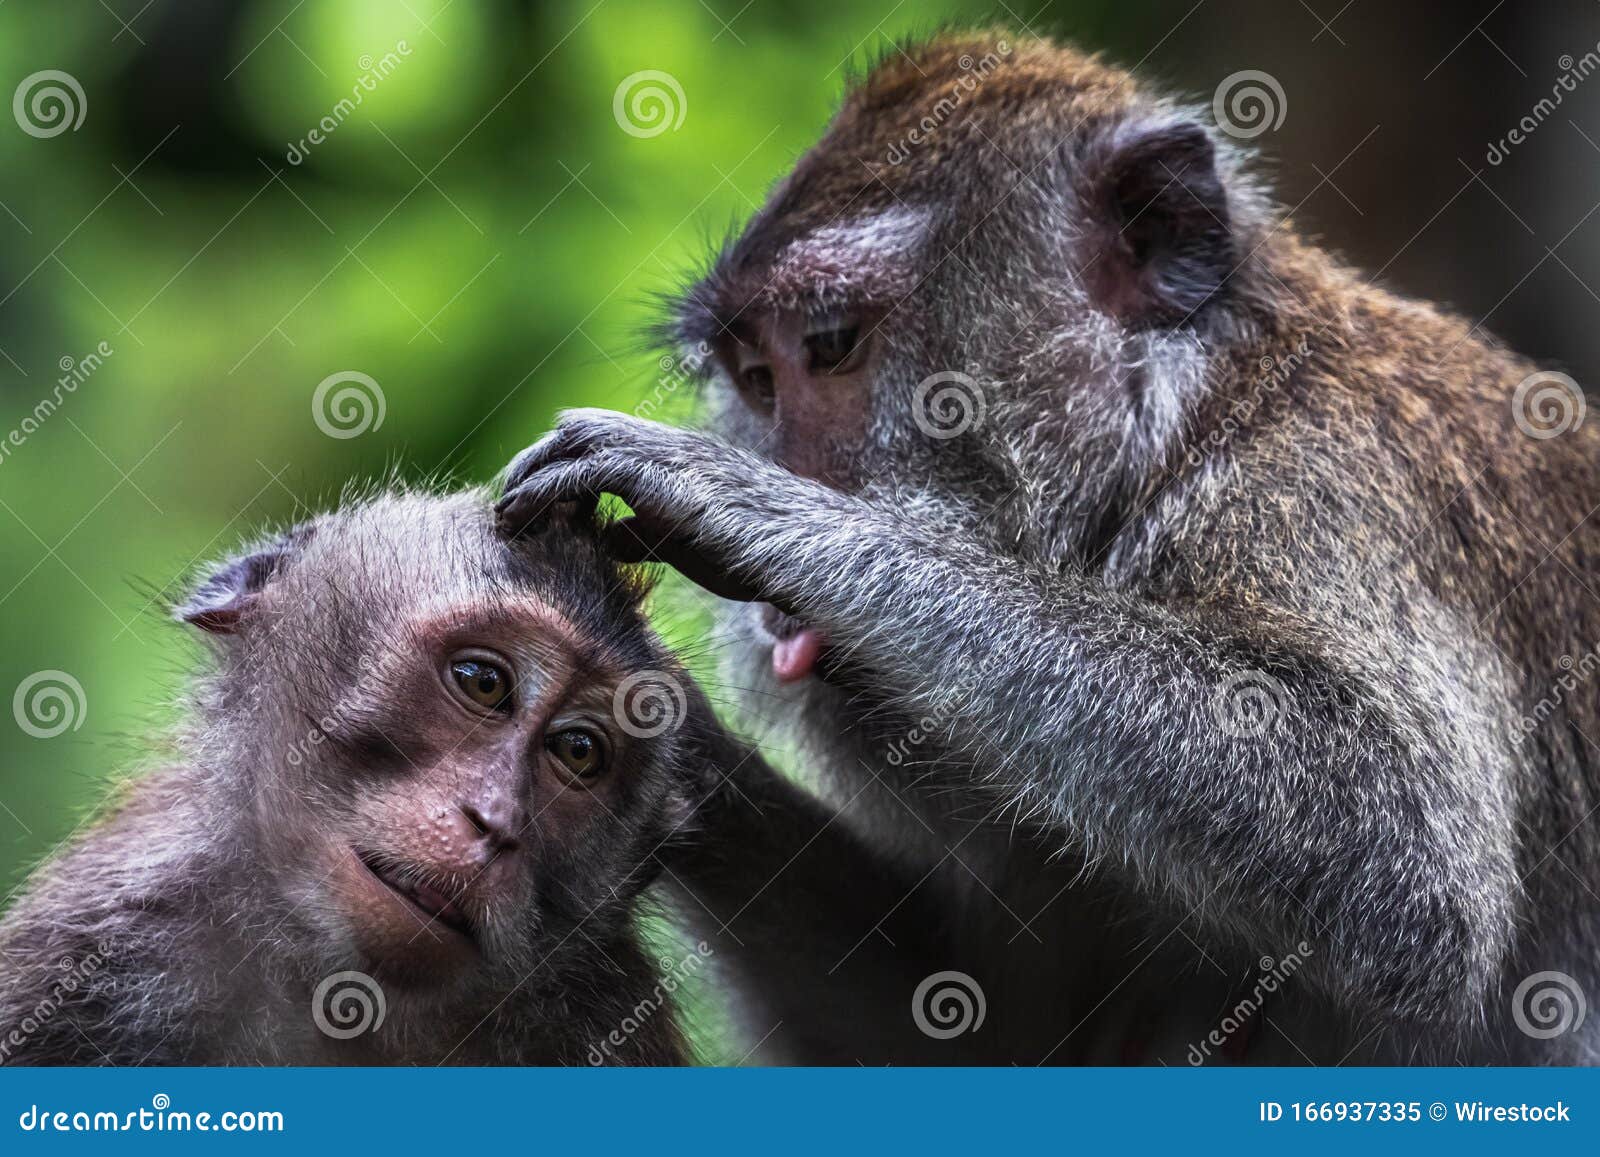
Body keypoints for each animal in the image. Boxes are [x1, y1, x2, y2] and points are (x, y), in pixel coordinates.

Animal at [497, 32, 1600, 1065]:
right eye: (756, 379)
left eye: (832, 344)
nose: (778, 457)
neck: (1183, 428)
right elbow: (973, 1029)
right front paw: (657, 729)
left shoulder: (1326, 485)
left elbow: (1400, 844)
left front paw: (752, 507)